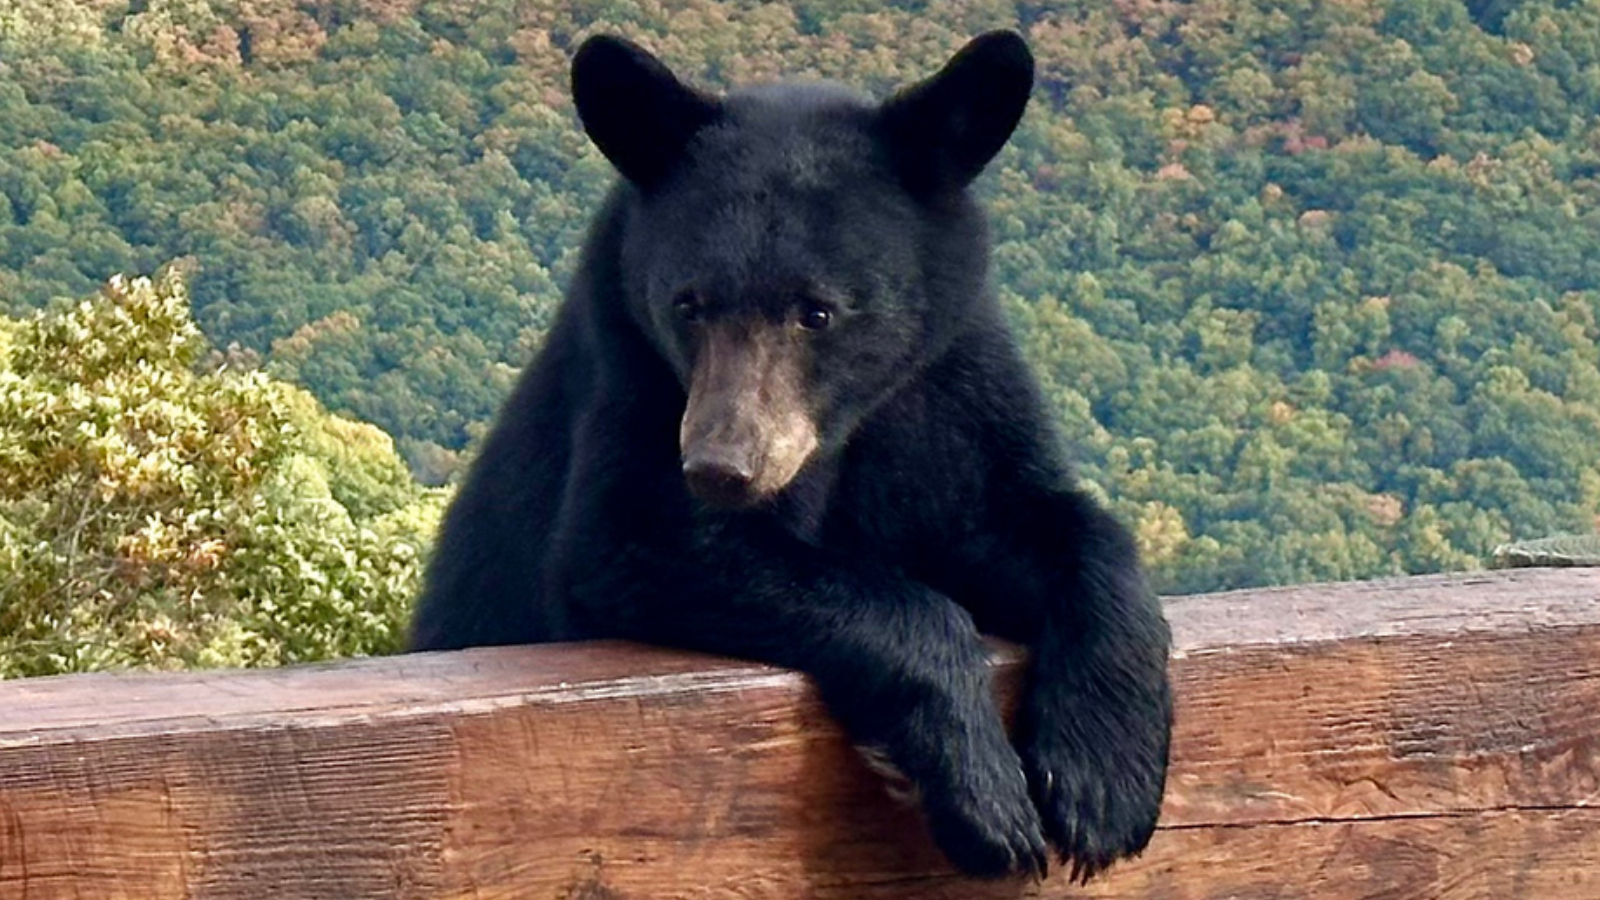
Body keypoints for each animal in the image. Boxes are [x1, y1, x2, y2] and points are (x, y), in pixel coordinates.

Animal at [410, 31, 1173, 883]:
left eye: (818, 312)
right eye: (687, 303)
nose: (720, 466)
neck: (850, 427)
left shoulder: (952, 385)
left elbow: (1033, 521)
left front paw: (1104, 778)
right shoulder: (631, 379)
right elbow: (634, 543)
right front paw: (985, 799)